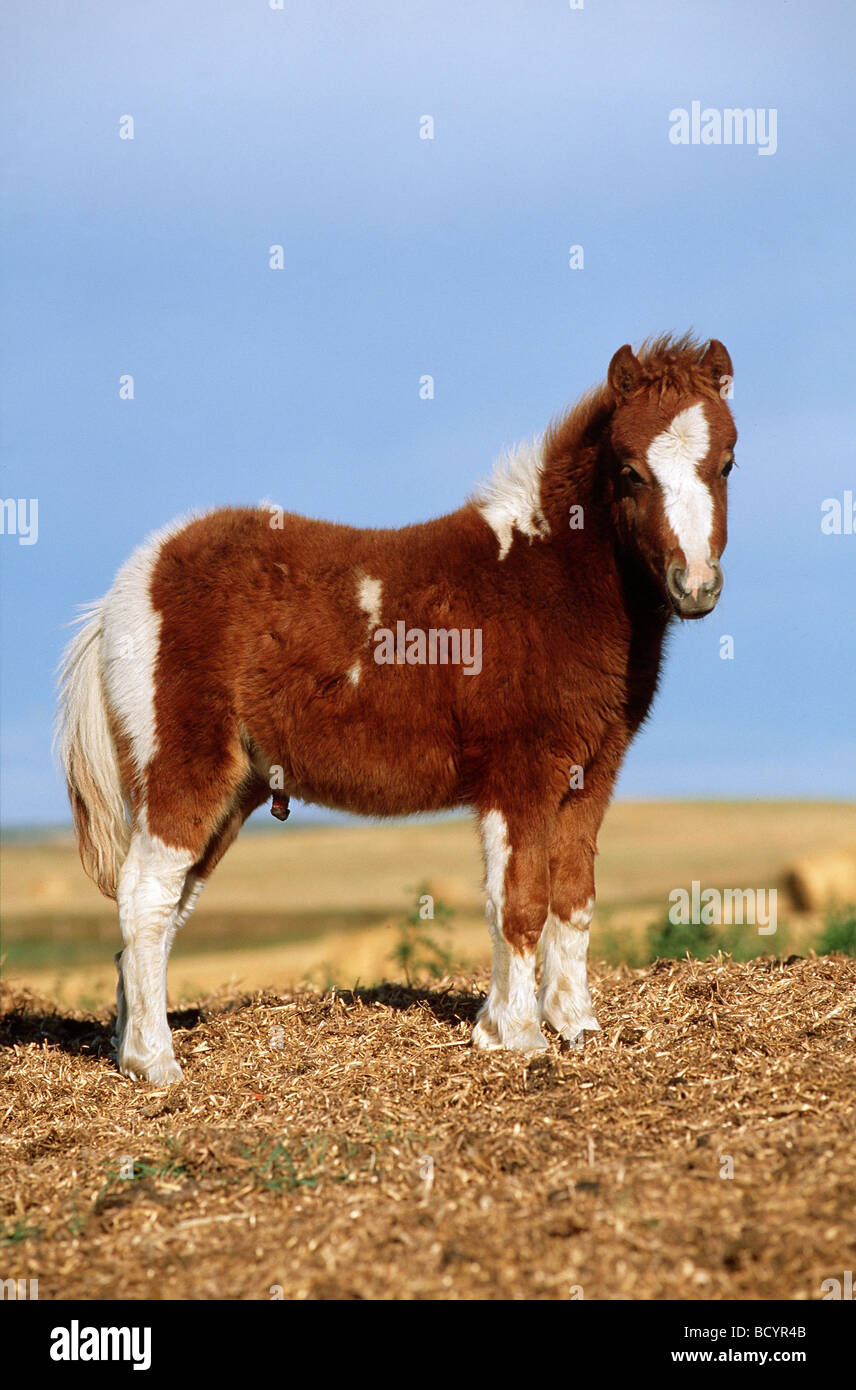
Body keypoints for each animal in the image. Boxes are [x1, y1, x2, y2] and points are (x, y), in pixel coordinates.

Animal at [56, 333, 736, 1083]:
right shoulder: (519, 776)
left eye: (727, 463)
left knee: (165, 907)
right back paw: (155, 1064)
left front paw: (576, 1026)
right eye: (629, 472)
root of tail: (126, 590)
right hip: (185, 770)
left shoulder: (593, 772)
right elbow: (518, 903)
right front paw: (515, 1035)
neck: (543, 584)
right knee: (144, 898)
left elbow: (573, 899)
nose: (695, 587)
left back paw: (128, 1050)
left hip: (231, 794)